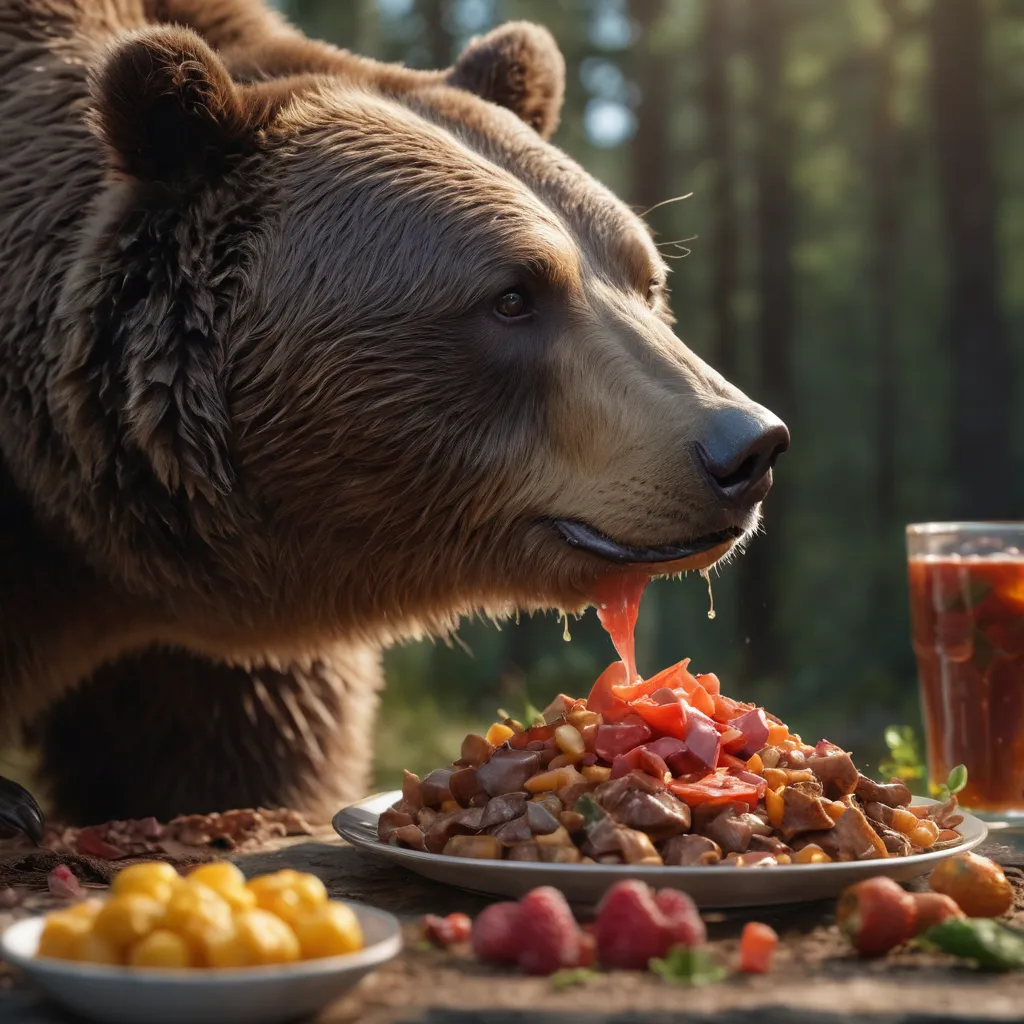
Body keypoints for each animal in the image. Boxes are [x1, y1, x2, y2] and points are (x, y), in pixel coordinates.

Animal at [0, 0, 788, 838]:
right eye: (513, 295)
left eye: (645, 279)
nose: (747, 448)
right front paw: (13, 805)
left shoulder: (210, 662)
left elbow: (222, 753)